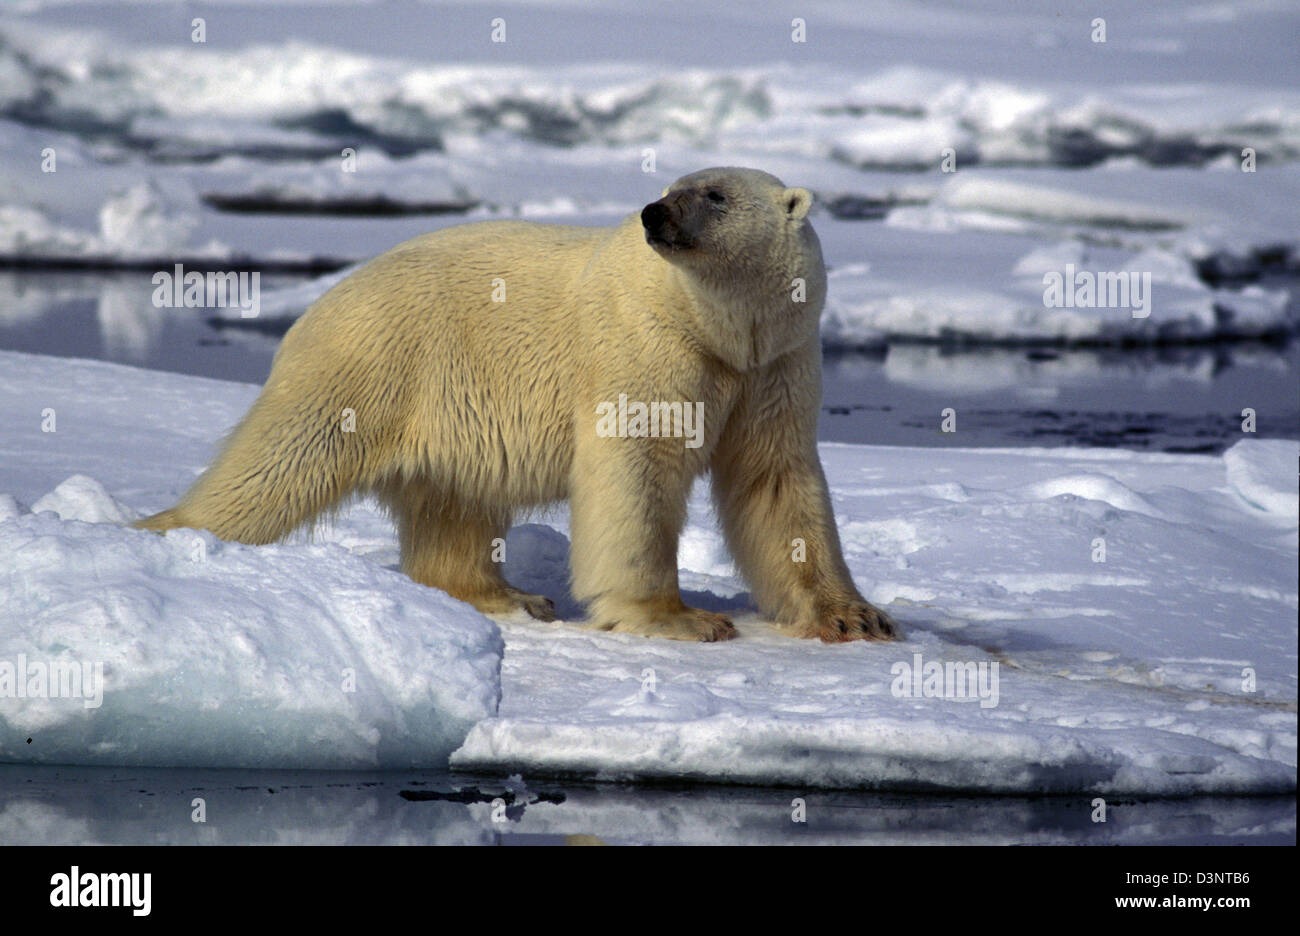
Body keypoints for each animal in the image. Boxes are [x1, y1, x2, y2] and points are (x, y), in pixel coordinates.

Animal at [136, 167, 898, 644]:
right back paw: (168, 529)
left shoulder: (776, 361)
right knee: (280, 463)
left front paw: (855, 617)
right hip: (371, 363)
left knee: (454, 506)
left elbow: (774, 478)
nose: (653, 214)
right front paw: (681, 617)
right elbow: (637, 470)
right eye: (668, 188)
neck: (719, 329)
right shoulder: (649, 343)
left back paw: (510, 597)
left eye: (713, 193)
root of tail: (316, 304)